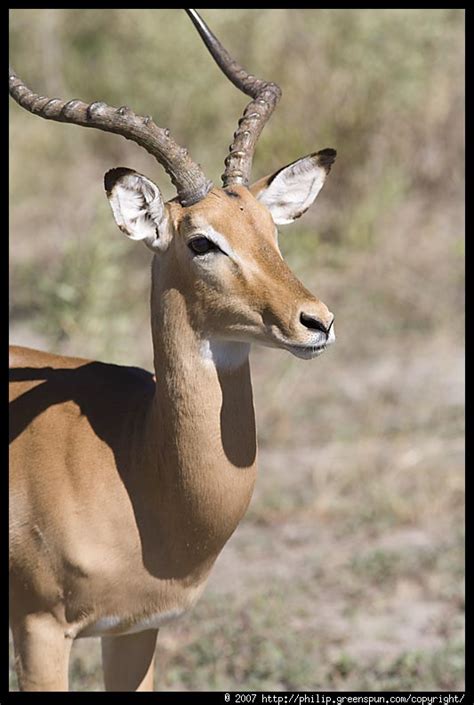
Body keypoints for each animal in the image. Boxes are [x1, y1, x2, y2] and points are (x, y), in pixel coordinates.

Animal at [9, 9, 336, 692]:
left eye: (270, 233)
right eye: (202, 241)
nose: (316, 322)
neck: (137, 462)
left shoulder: (137, 629)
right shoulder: (39, 629)